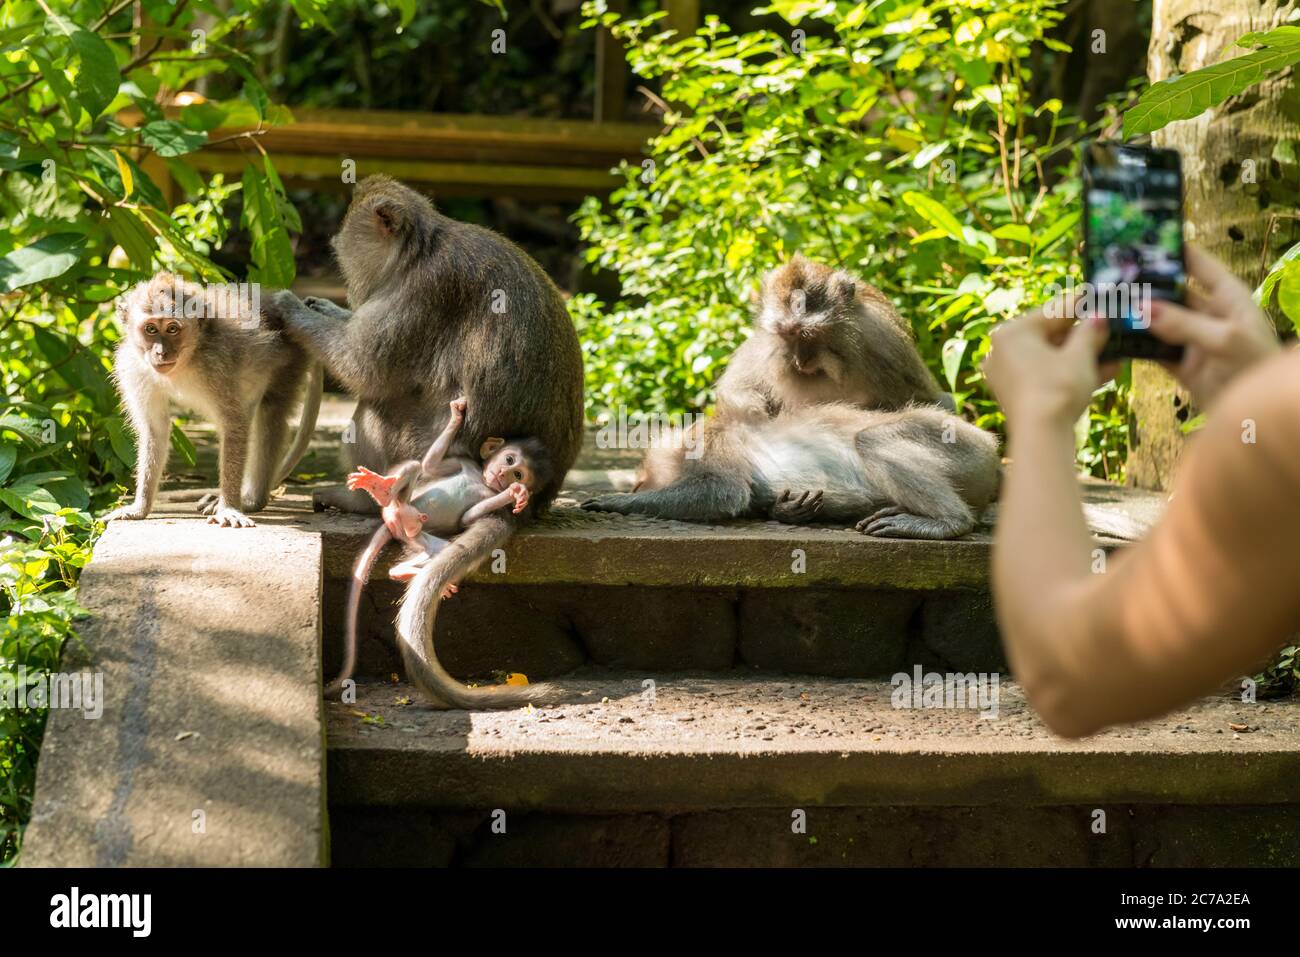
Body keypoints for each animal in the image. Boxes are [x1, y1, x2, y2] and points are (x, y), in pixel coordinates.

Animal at [105, 272, 323, 528]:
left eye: (172, 329)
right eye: (150, 329)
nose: (161, 352)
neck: (189, 356)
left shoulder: (218, 364)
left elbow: (234, 423)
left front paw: (228, 508)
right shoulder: (134, 369)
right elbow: (155, 429)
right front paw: (140, 507)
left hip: (291, 359)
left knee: (271, 411)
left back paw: (251, 500)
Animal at [325, 398, 557, 699]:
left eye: (518, 473)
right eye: (508, 460)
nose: (503, 474)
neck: (482, 479)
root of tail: (394, 524)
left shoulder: (484, 496)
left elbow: (469, 517)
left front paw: (516, 493)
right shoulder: (462, 463)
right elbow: (430, 464)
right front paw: (457, 416)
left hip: (420, 534)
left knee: (430, 549)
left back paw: (406, 571)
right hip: (406, 510)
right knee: (413, 467)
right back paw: (383, 490)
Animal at [584, 402, 1000, 541]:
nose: (637, 486)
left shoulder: (709, 441)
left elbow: (721, 491)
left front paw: (614, 501)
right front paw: (787, 509)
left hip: (958, 444)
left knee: (872, 439)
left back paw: (948, 522)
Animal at [714, 255, 948, 422]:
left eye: (808, 333)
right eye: (787, 334)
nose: (800, 362)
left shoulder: (885, 342)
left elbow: (928, 400)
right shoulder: (762, 347)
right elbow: (737, 391)